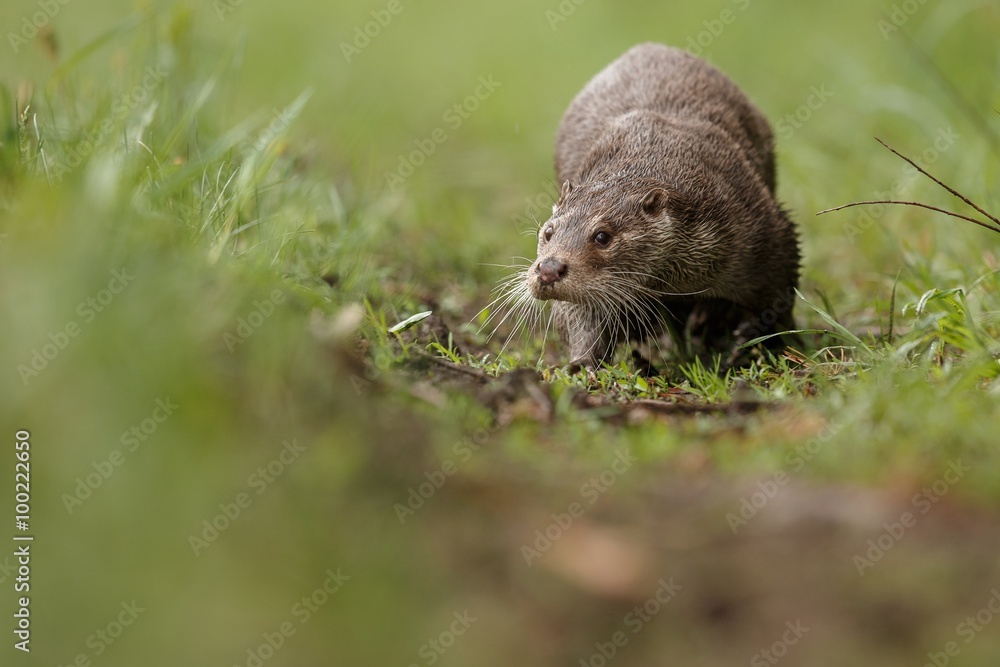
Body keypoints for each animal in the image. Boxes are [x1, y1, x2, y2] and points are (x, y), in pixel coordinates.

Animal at [525, 43, 800, 369]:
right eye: (548, 232)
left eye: (603, 236)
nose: (549, 269)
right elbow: (580, 317)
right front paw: (583, 364)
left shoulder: (764, 232)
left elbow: (777, 297)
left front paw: (756, 342)